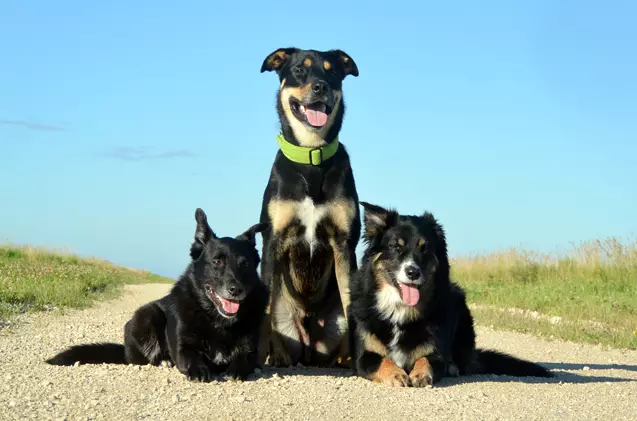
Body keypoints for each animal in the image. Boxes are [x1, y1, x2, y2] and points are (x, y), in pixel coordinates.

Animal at [46, 208, 270, 382]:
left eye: (245, 264)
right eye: (217, 262)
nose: (236, 290)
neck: (215, 319)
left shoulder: (250, 351)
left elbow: (243, 360)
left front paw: (234, 369)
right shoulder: (183, 349)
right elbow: (192, 358)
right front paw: (199, 369)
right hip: (147, 314)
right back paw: (163, 361)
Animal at [258, 47, 358, 366]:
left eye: (332, 71)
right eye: (299, 70)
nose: (320, 87)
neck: (311, 155)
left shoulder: (343, 243)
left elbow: (351, 303)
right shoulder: (272, 240)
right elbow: (265, 311)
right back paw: (278, 355)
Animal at [348, 202, 552, 386]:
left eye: (425, 248)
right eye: (395, 247)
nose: (413, 272)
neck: (399, 308)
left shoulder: (436, 352)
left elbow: (426, 360)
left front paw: (421, 374)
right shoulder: (364, 355)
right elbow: (383, 361)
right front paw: (396, 374)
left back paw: (453, 367)